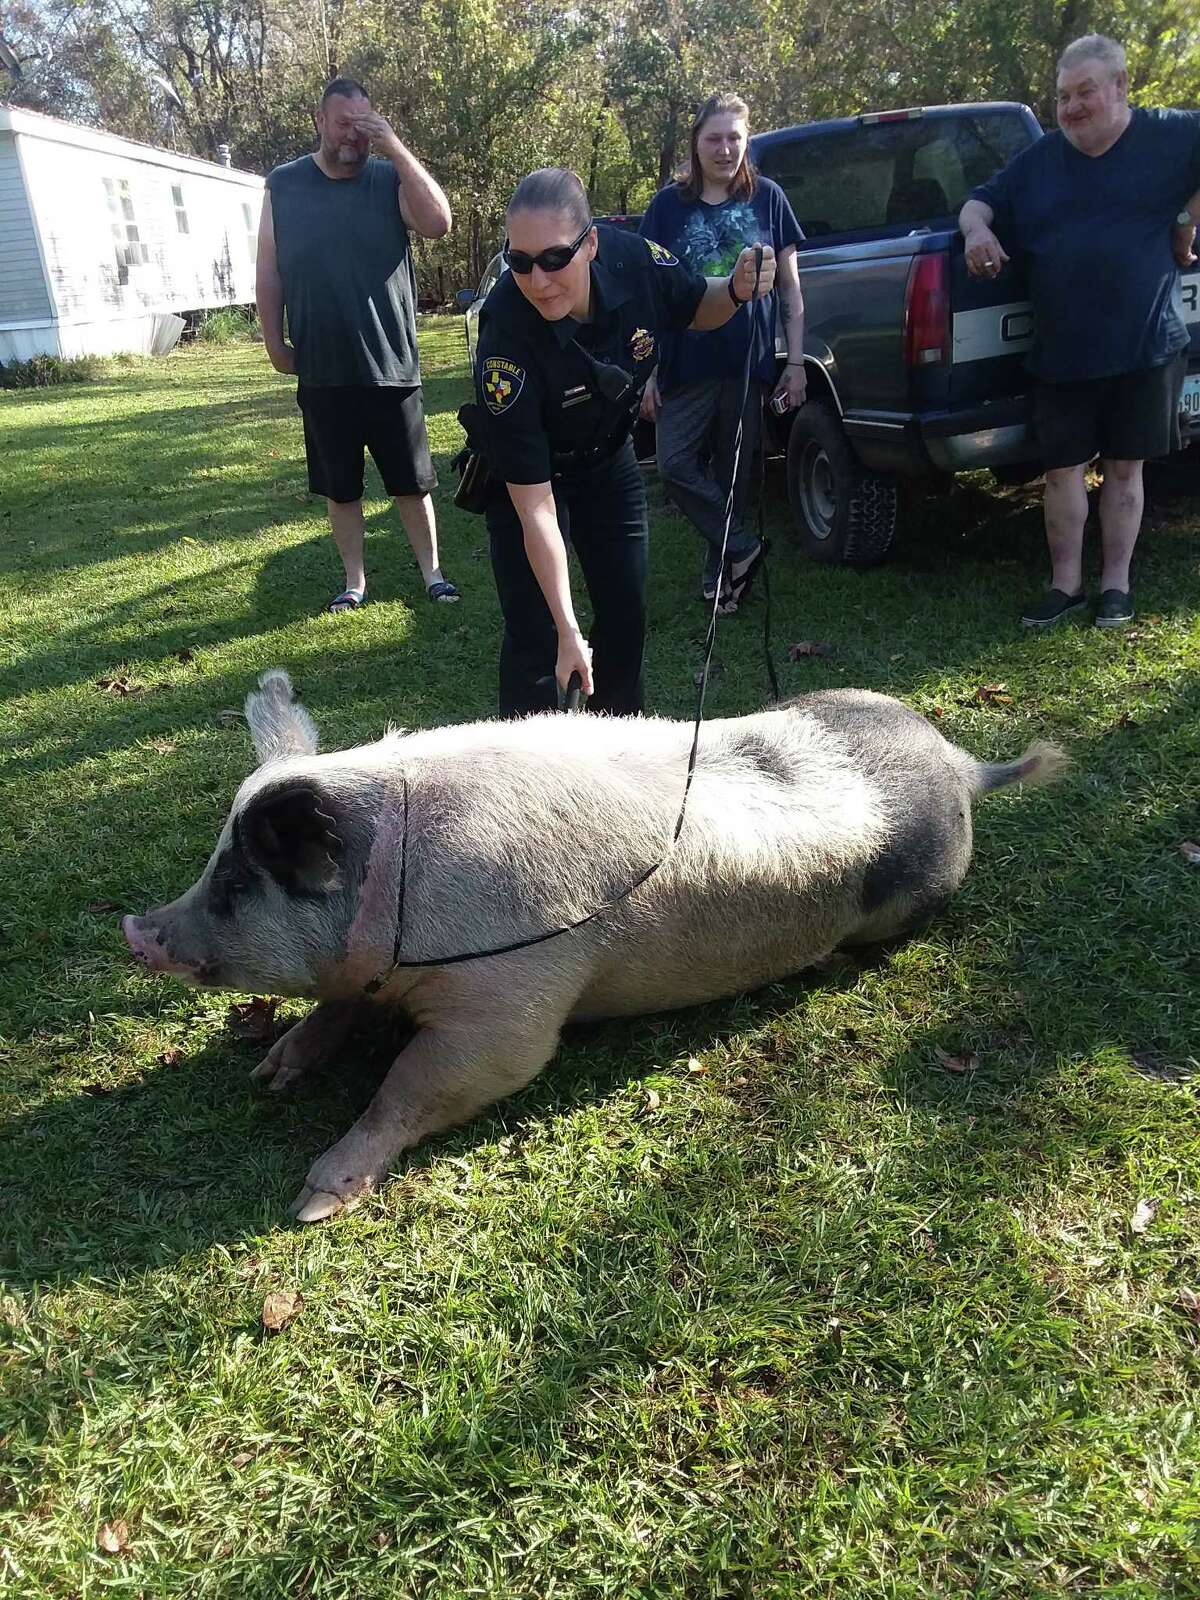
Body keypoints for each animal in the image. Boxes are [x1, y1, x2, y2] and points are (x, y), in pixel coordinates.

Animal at [123, 669, 1065, 1221]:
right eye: (217, 867)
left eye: (238, 884)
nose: (137, 930)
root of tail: (961, 766)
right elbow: (333, 1012)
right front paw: (270, 1072)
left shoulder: (509, 1002)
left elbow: (419, 1084)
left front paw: (313, 1202)